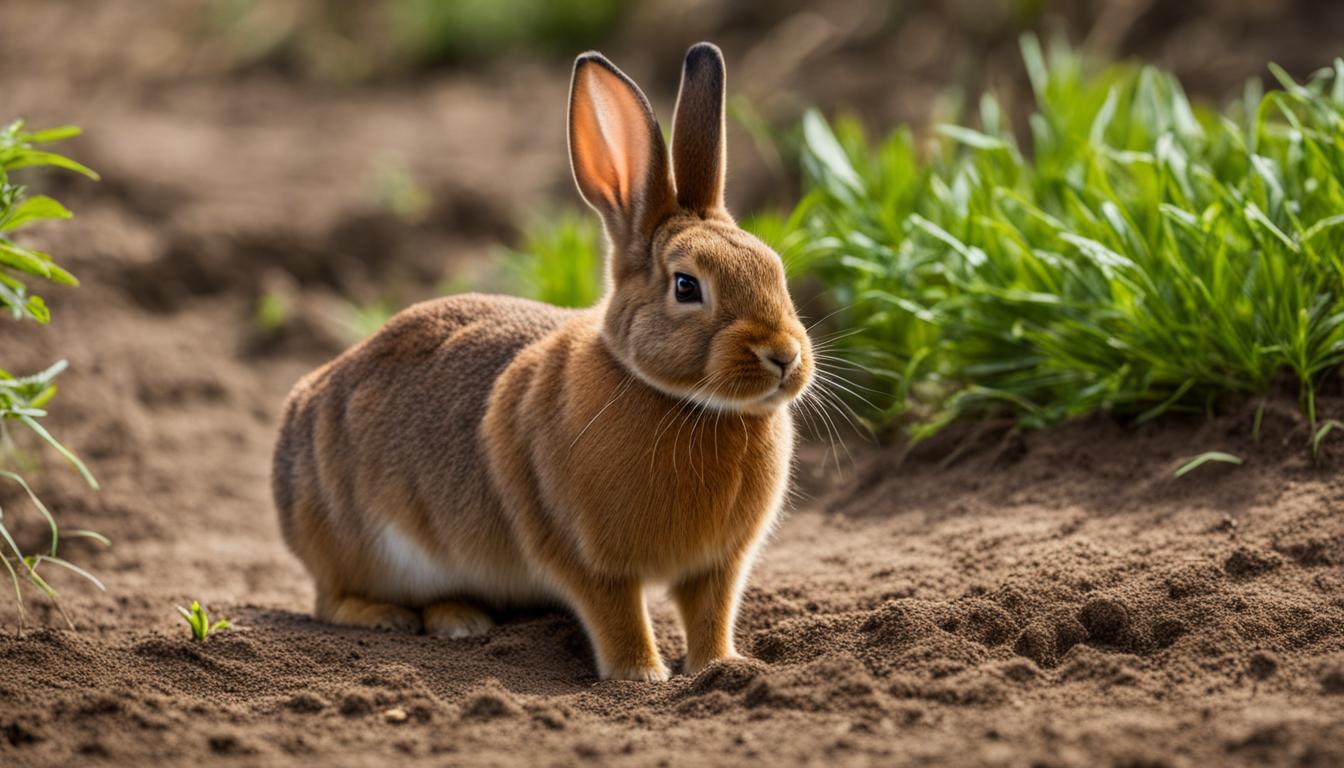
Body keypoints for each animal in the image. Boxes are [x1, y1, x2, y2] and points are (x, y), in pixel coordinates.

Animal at [272, 42, 813, 681]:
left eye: (774, 268)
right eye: (686, 286)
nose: (784, 355)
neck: (686, 402)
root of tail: (297, 415)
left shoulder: (718, 565)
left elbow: (711, 612)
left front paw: (721, 668)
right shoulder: (584, 555)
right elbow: (617, 615)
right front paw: (641, 677)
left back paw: (462, 617)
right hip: (359, 545)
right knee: (331, 599)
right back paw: (406, 620)